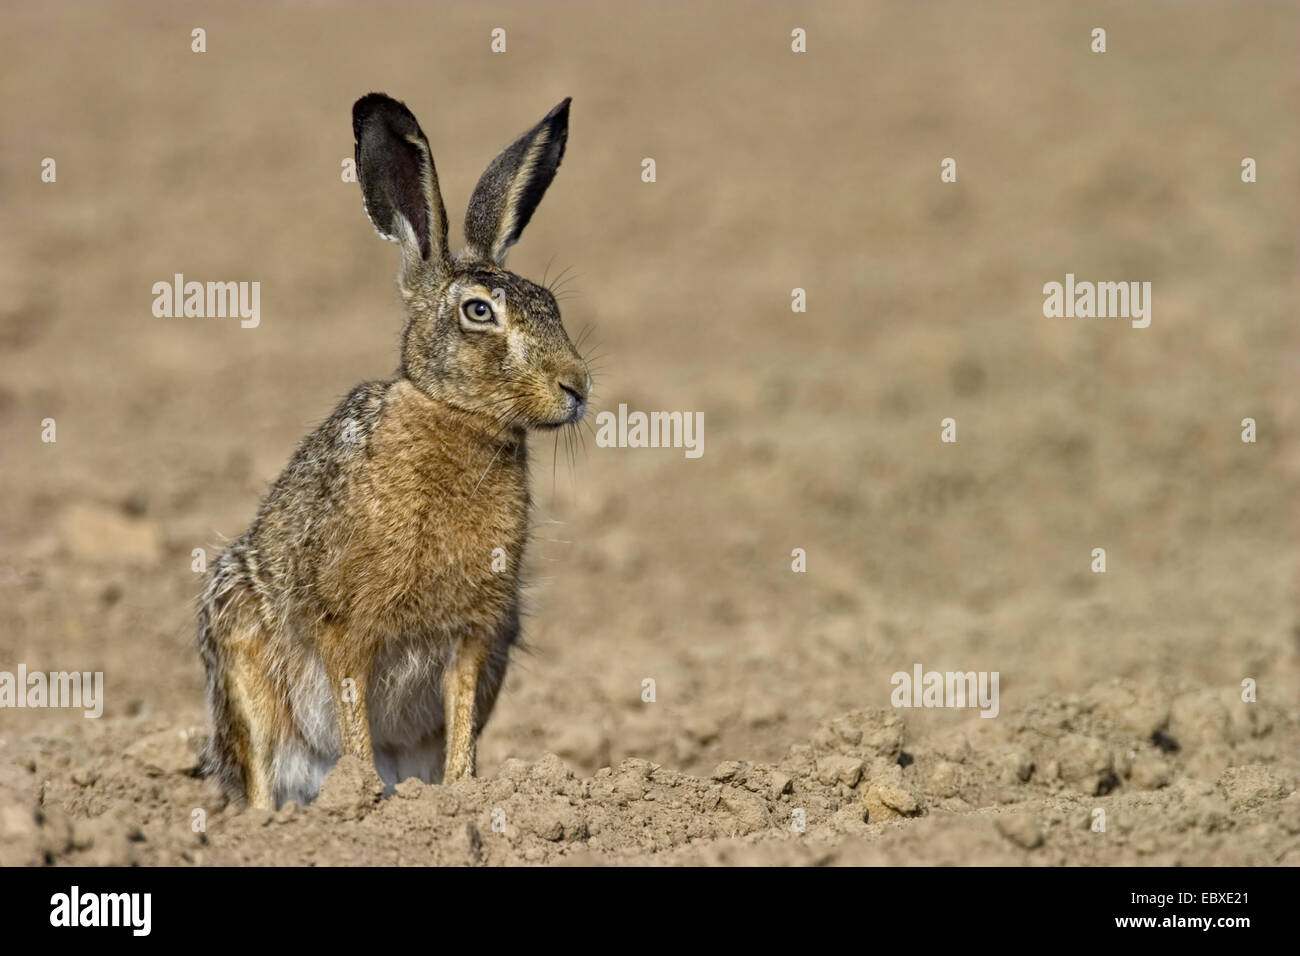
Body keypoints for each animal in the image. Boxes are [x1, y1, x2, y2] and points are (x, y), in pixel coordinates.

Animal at [196, 92, 589, 810]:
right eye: (479, 312)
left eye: (550, 303)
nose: (577, 386)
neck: (453, 416)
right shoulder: (346, 628)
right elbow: (354, 719)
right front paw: (364, 794)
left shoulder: (475, 636)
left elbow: (460, 719)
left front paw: (460, 793)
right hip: (242, 660)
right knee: (261, 772)